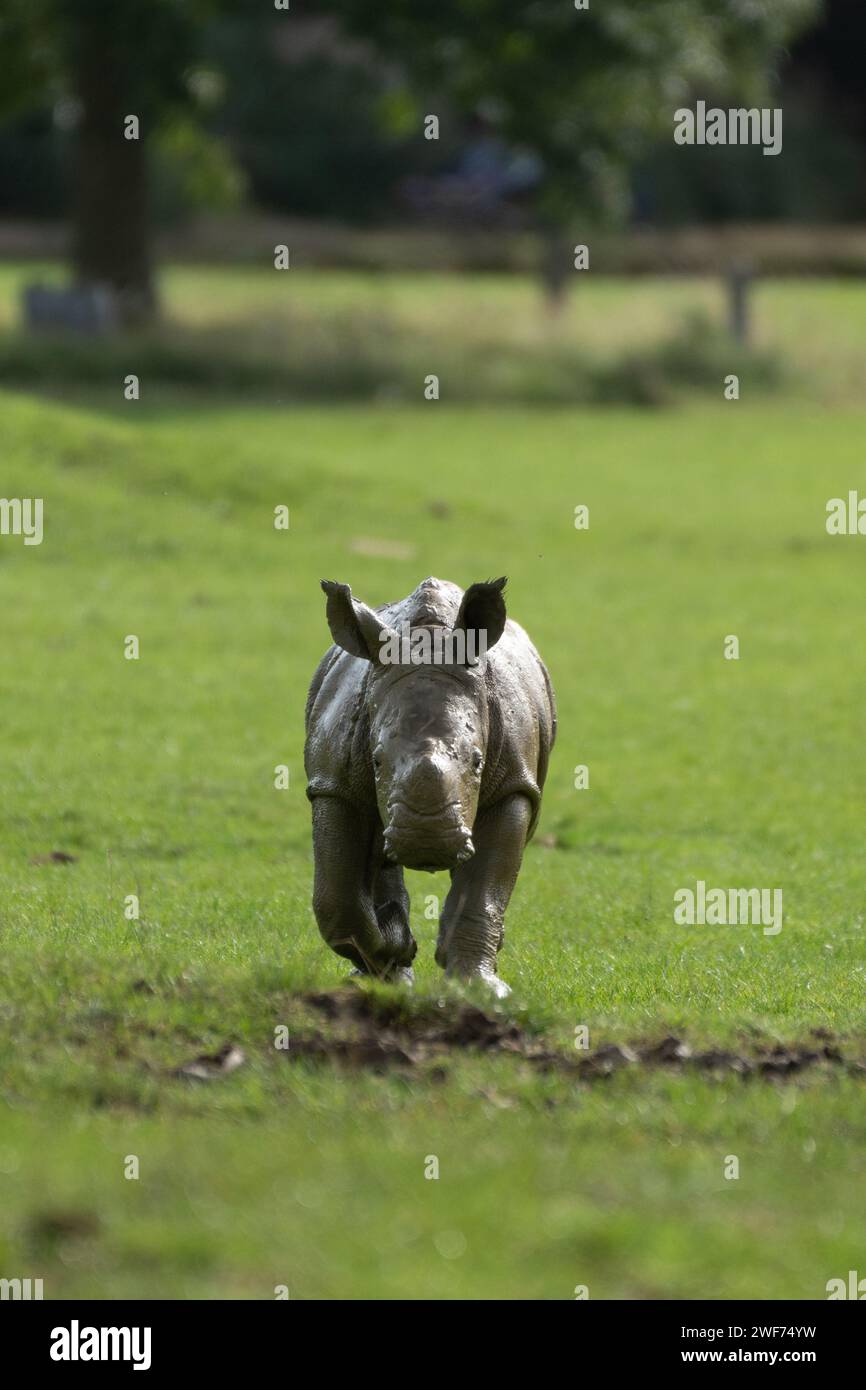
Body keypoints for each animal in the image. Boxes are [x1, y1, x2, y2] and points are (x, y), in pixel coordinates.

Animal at [304, 576, 556, 996]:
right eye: (376, 761)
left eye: (477, 761)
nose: (427, 844)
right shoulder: (332, 785)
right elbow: (335, 895)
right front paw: (394, 951)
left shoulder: (515, 785)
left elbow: (485, 888)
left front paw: (480, 988)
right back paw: (383, 971)